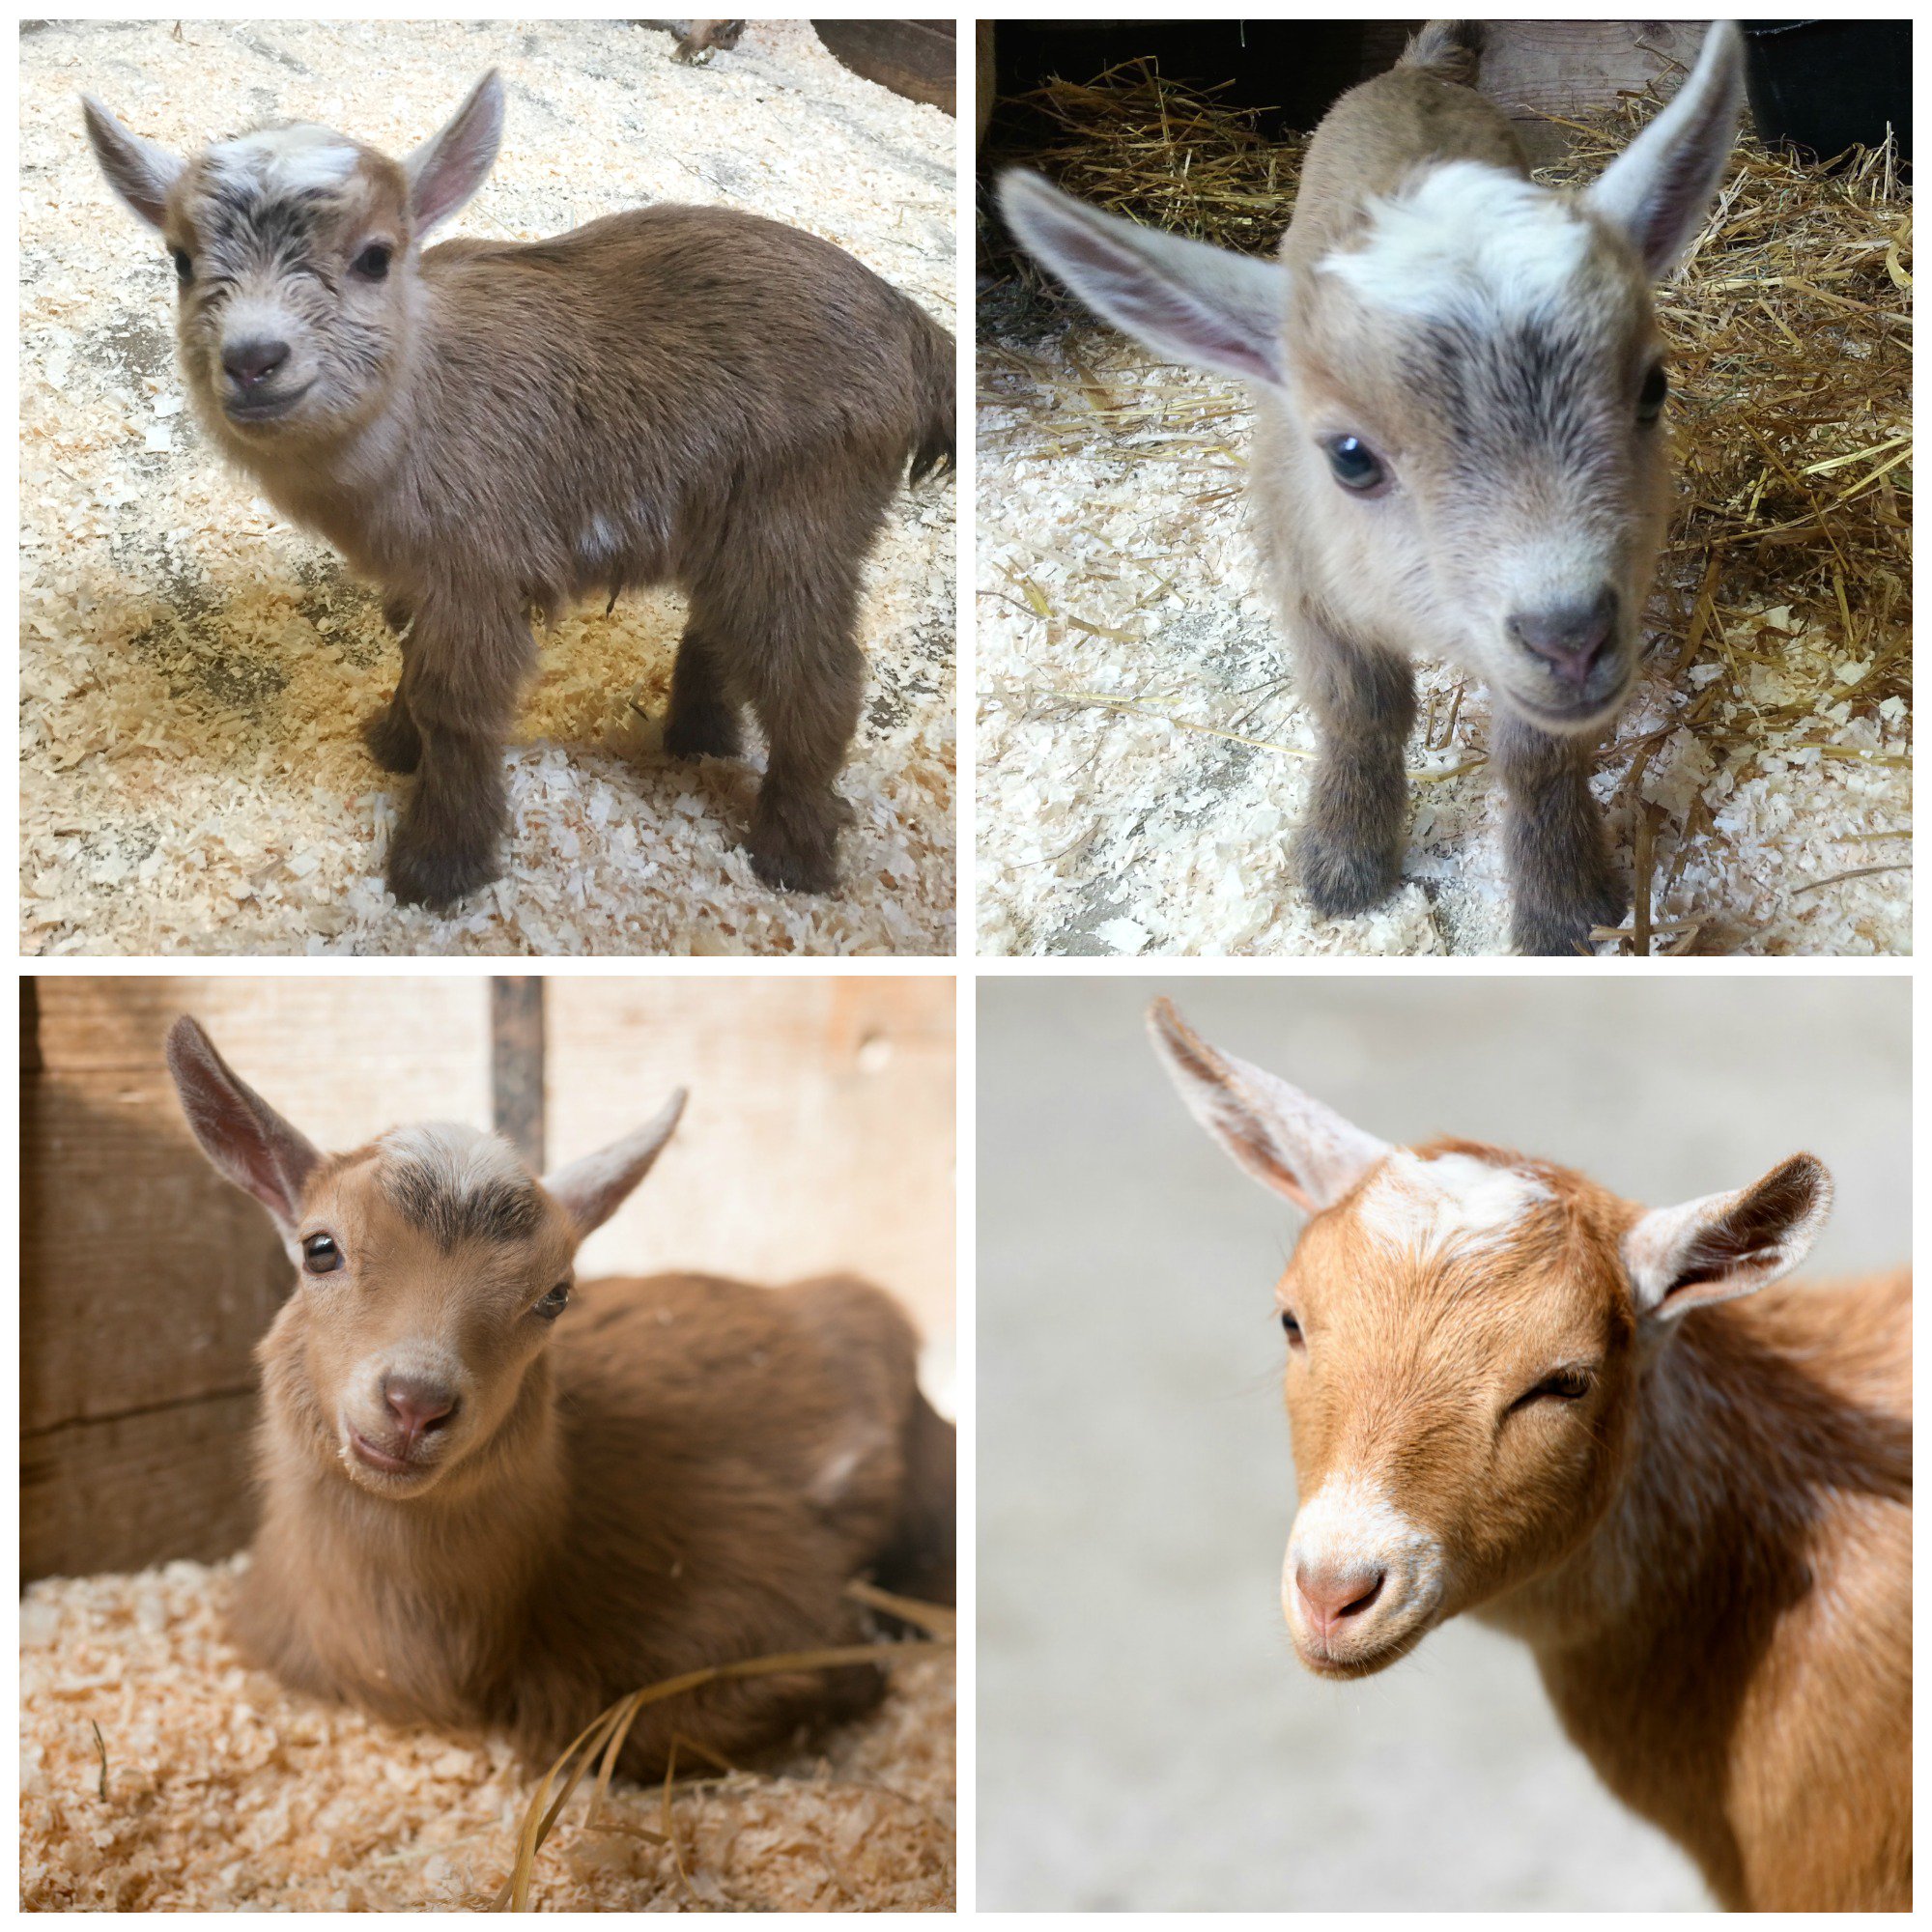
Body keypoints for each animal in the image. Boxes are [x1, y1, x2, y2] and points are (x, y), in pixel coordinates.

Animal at [83, 73, 954, 910]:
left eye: (375, 257)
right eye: (180, 260)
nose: (254, 359)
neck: (422, 405)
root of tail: (916, 332)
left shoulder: (477, 573)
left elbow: (456, 706)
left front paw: (435, 867)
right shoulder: (421, 579)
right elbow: (412, 669)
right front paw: (392, 744)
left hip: (802, 520)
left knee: (815, 680)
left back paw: (791, 856)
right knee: (725, 627)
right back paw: (697, 740)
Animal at [1001, 23, 1743, 954]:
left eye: (1654, 389)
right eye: (1350, 457)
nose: (1570, 637)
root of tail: (1417, 68)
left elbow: (1540, 754)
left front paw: (1563, 900)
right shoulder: (1307, 577)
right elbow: (1360, 711)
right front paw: (1343, 856)